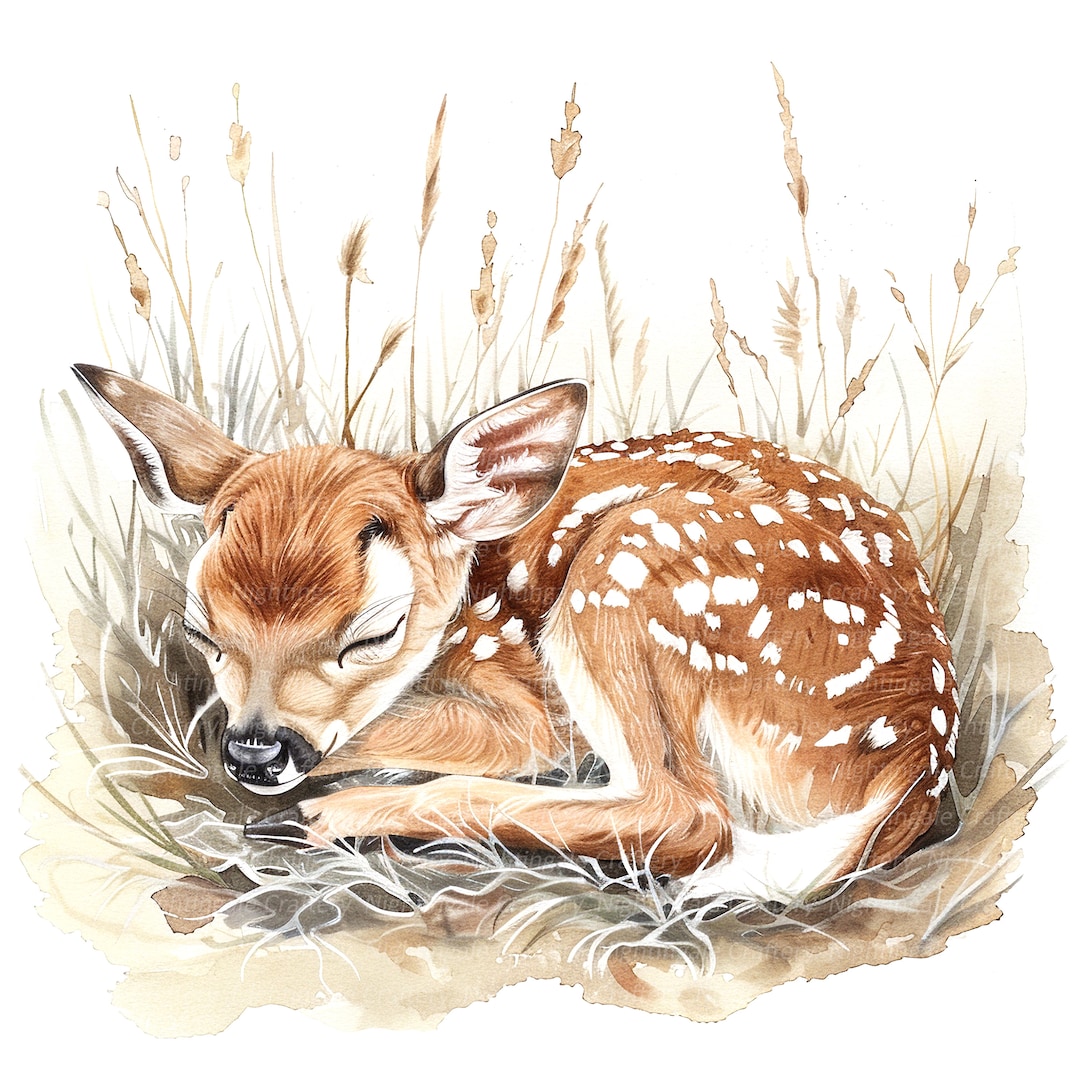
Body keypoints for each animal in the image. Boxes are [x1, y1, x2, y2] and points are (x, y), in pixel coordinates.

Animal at [75, 363, 959, 902]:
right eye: (202, 630)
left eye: (373, 634)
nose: (256, 753)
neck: (471, 587)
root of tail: (914, 764)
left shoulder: (530, 705)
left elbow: (429, 730)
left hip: (627, 575)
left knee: (687, 817)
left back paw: (329, 817)